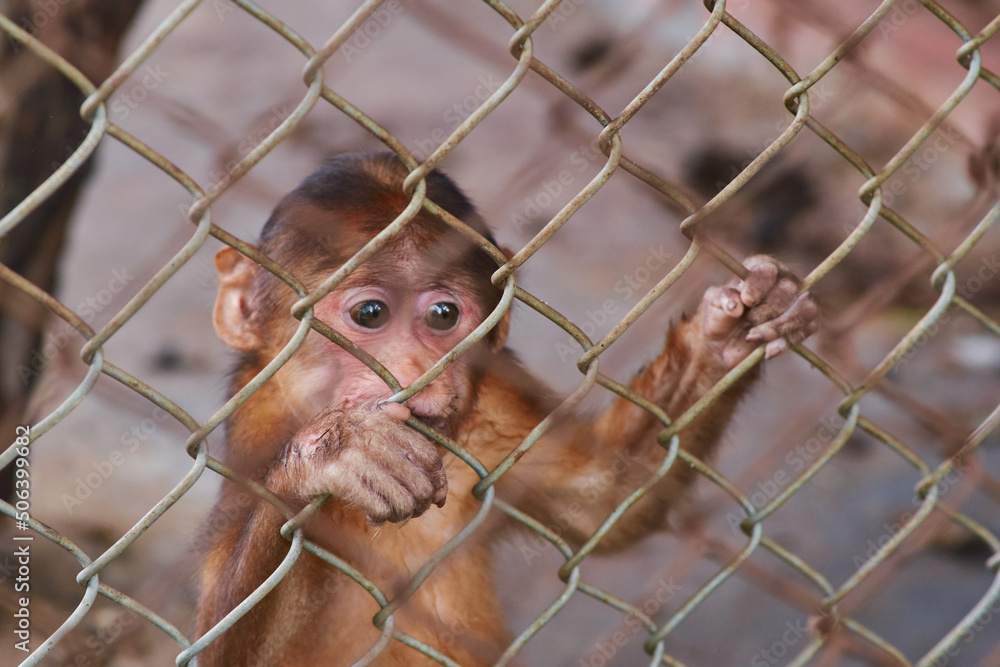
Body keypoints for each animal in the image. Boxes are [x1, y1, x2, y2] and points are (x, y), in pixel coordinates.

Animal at [194, 152, 819, 666]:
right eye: (369, 313)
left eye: (443, 315)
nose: (416, 368)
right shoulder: (260, 422)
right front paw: (340, 453)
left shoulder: (488, 407)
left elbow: (604, 496)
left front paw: (730, 333)